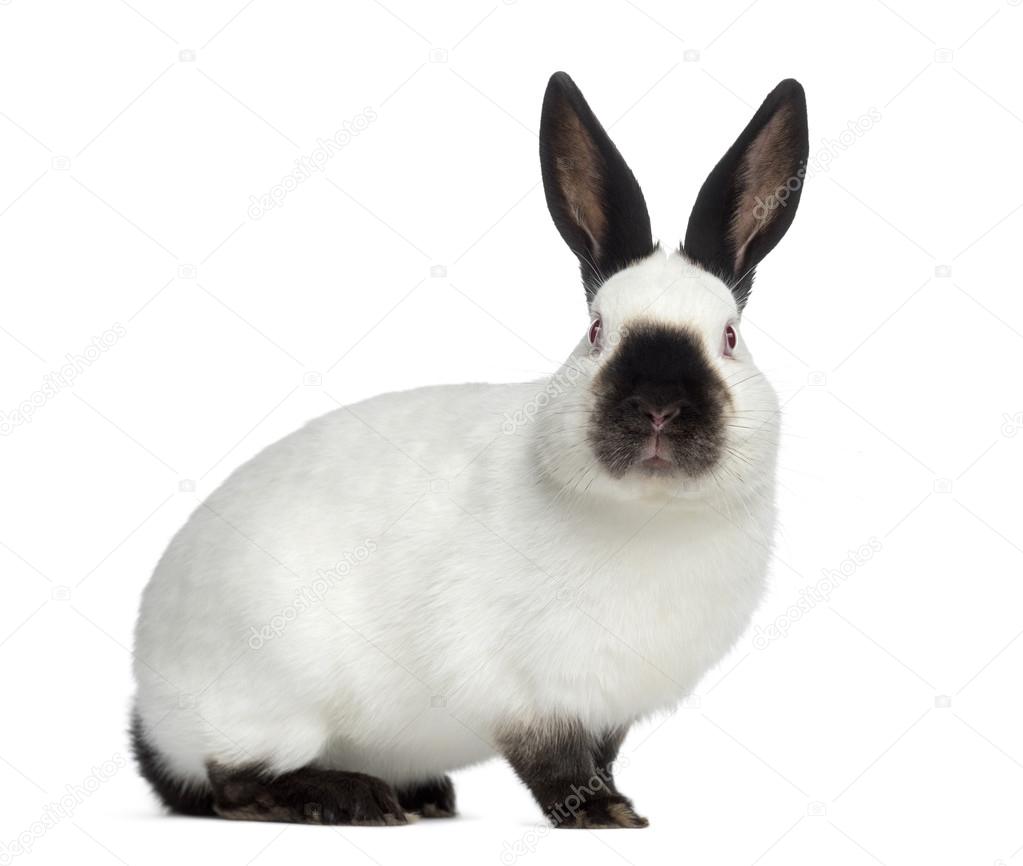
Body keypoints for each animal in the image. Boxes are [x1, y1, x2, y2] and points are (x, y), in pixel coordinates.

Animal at [131, 71, 808, 828]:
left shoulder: (607, 708)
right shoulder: (527, 693)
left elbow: (598, 757)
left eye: (728, 337)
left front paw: (617, 805)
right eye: (596, 332)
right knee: (232, 784)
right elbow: (555, 765)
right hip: (271, 700)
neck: (649, 517)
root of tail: (151, 712)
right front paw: (602, 816)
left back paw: (422, 795)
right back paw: (354, 800)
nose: (658, 405)